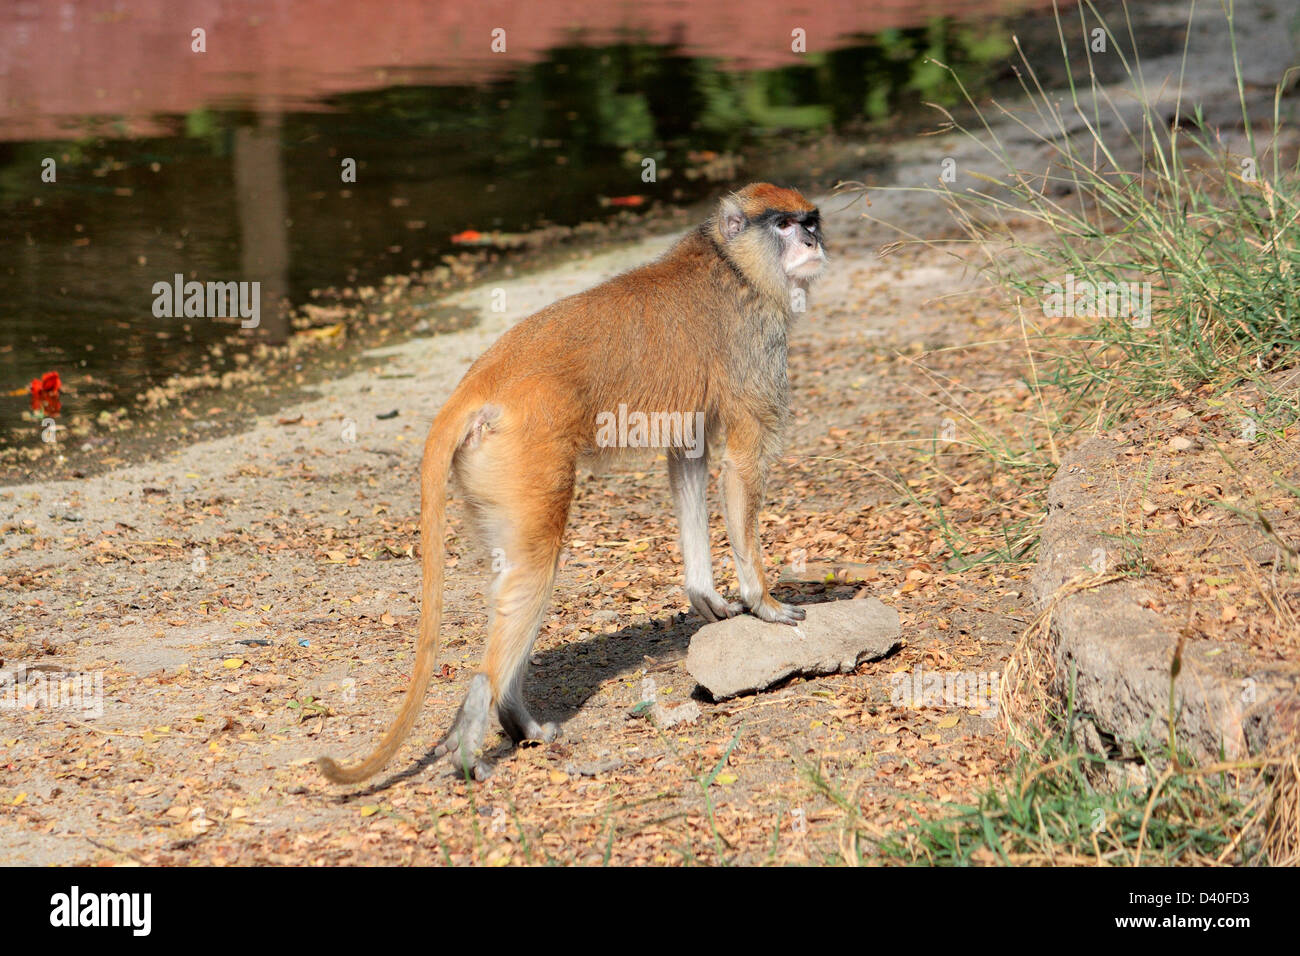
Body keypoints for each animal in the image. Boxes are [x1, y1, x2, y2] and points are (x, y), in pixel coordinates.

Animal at [318, 183, 828, 784]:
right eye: (783, 224)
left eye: (809, 220)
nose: (813, 241)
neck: (734, 264)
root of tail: (480, 384)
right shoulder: (756, 345)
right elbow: (743, 465)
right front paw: (764, 602)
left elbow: (688, 455)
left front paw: (705, 594)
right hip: (526, 455)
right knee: (536, 567)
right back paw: (478, 726)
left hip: (489, 471)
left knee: (516, 577)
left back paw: (515, 720)